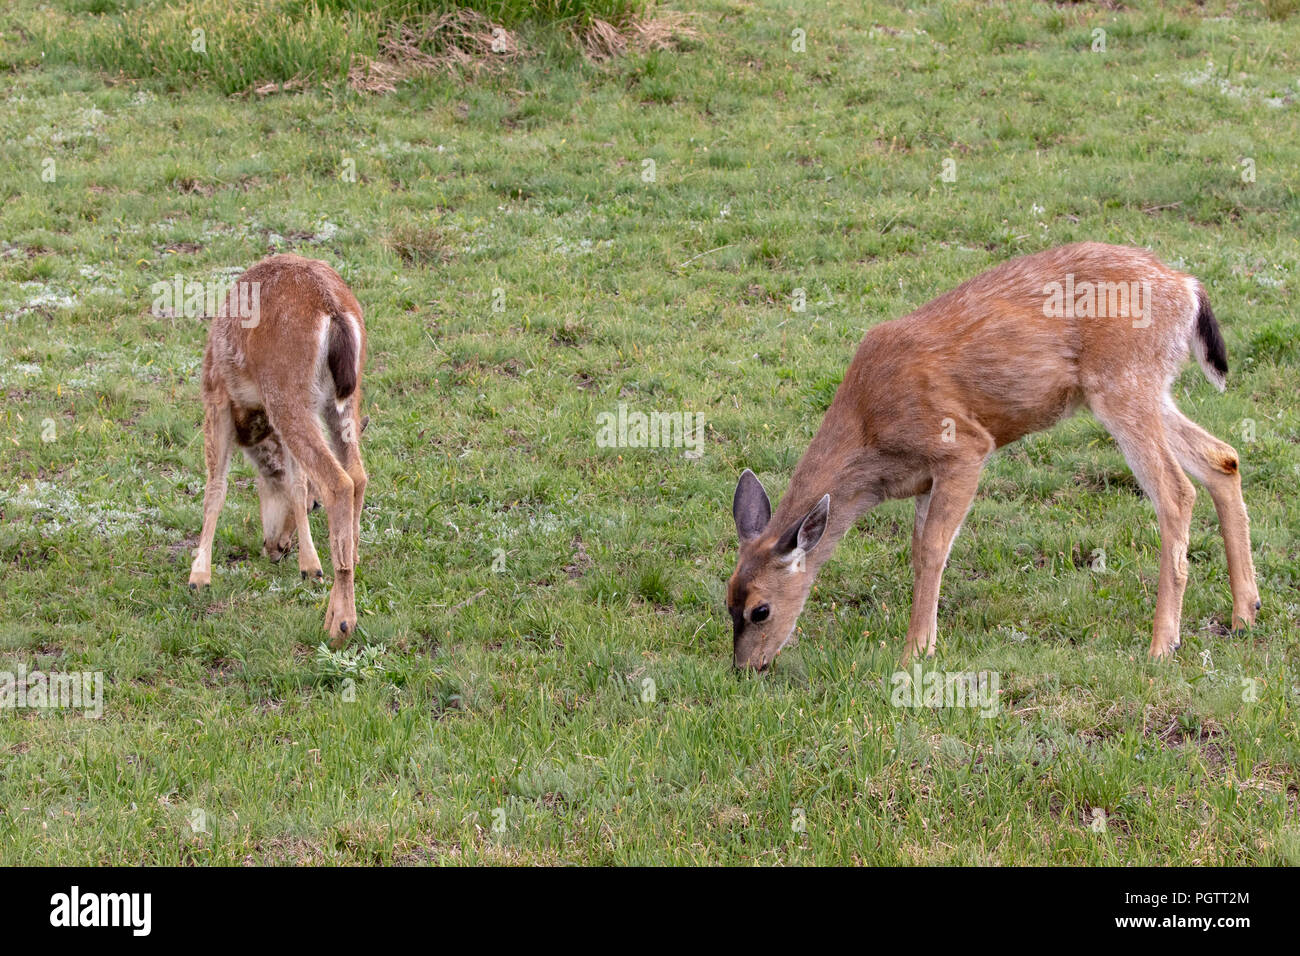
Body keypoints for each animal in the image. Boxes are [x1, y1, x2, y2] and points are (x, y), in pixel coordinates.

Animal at [187, 253, 368, 648]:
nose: (275, 548)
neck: (252, 419)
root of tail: (334, 309)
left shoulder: (216, 394)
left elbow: (215, 487)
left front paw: (199, 576)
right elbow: (298, 482)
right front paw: (310, 566)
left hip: (287, 390)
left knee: (338, 482)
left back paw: (341, 623)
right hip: (341, 398)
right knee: (358, 475)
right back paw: (341, 588)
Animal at [727, 242, 1260, 671]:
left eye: (760, 609)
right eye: (727, 599)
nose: (745, 668)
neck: (870, 437)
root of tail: (1187, 288)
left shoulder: (963, 446)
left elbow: (932, 549)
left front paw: (916, 650)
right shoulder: (923, 480)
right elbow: (918, 546)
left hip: (1124, 383)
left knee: (1176, 491)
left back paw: (1162, 644)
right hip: (1143, 390)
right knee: (1223, 457)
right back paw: (1244, 613)